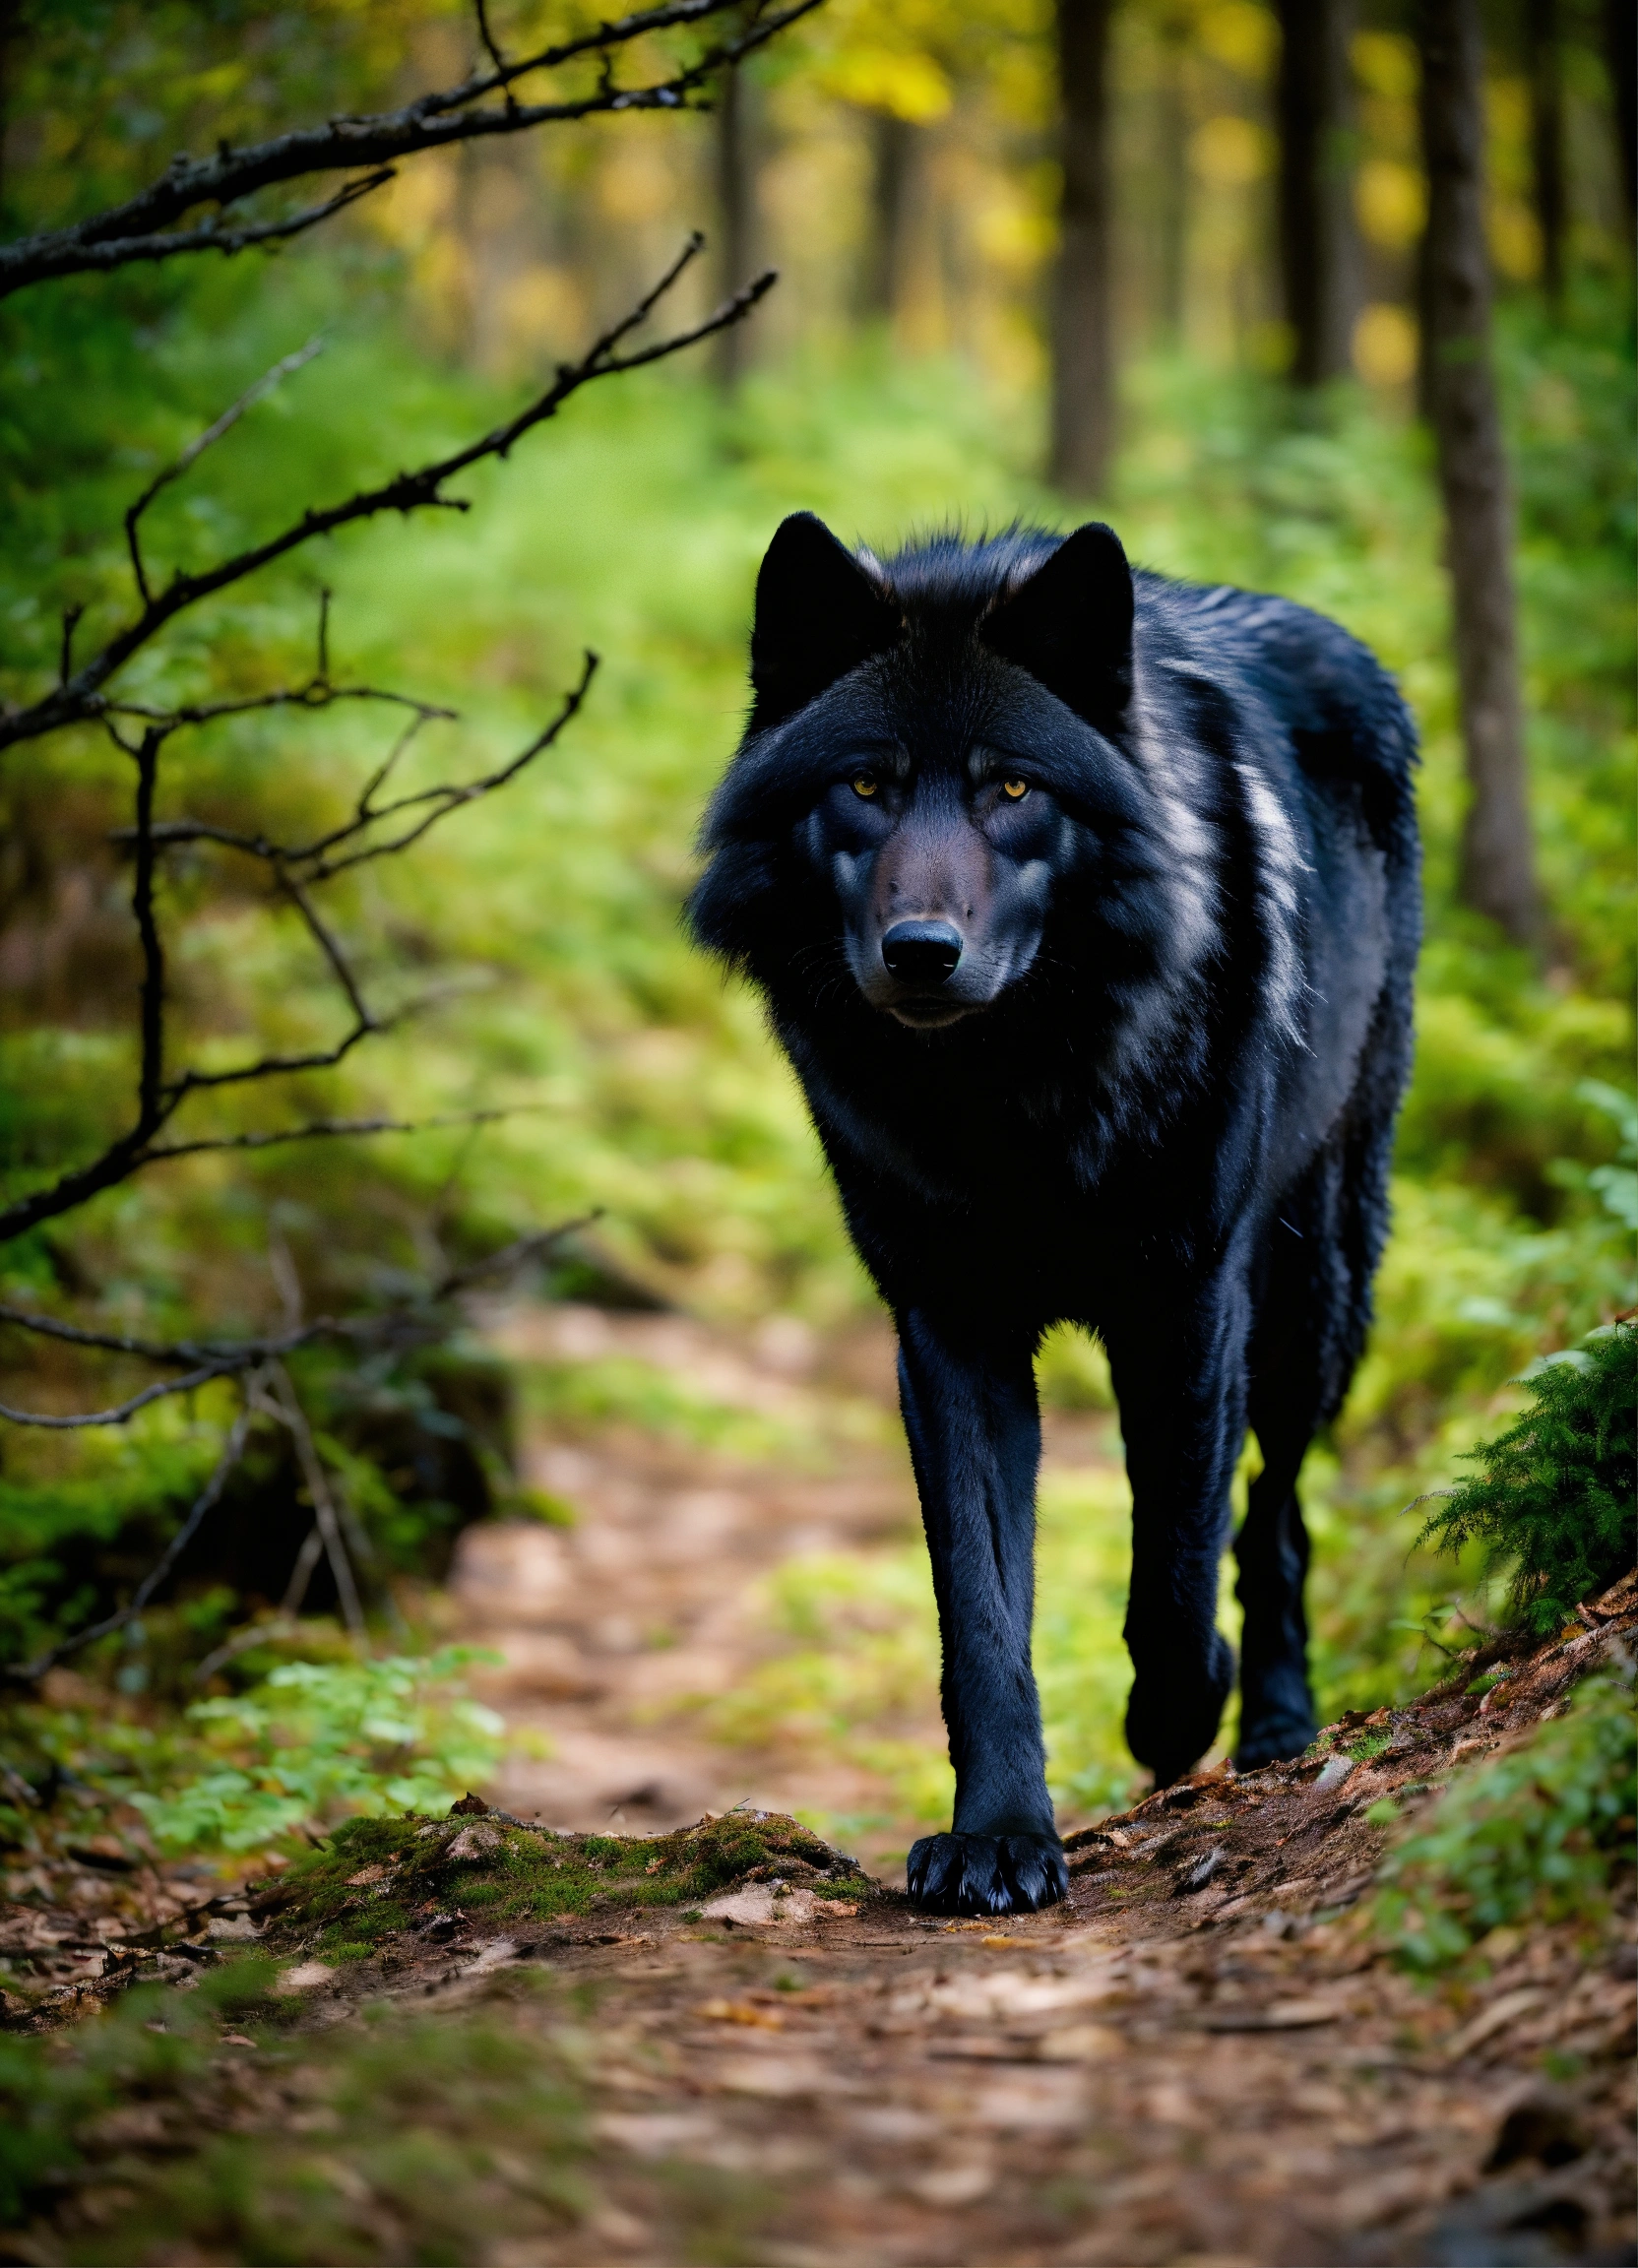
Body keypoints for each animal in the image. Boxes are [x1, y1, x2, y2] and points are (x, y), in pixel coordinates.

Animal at [688, 514, 1420, 1918]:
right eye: (865, 786)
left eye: (1013, 791)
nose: (920, 950)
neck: (1008, 1097)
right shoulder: (947, 1329)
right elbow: (980, 1619)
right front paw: (995, 1837)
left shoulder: (1186, 1303)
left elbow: (1174, 1573)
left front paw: (1175, 1722)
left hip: (1312, 1297)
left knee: (1279, 1516)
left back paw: (1275, 1727)